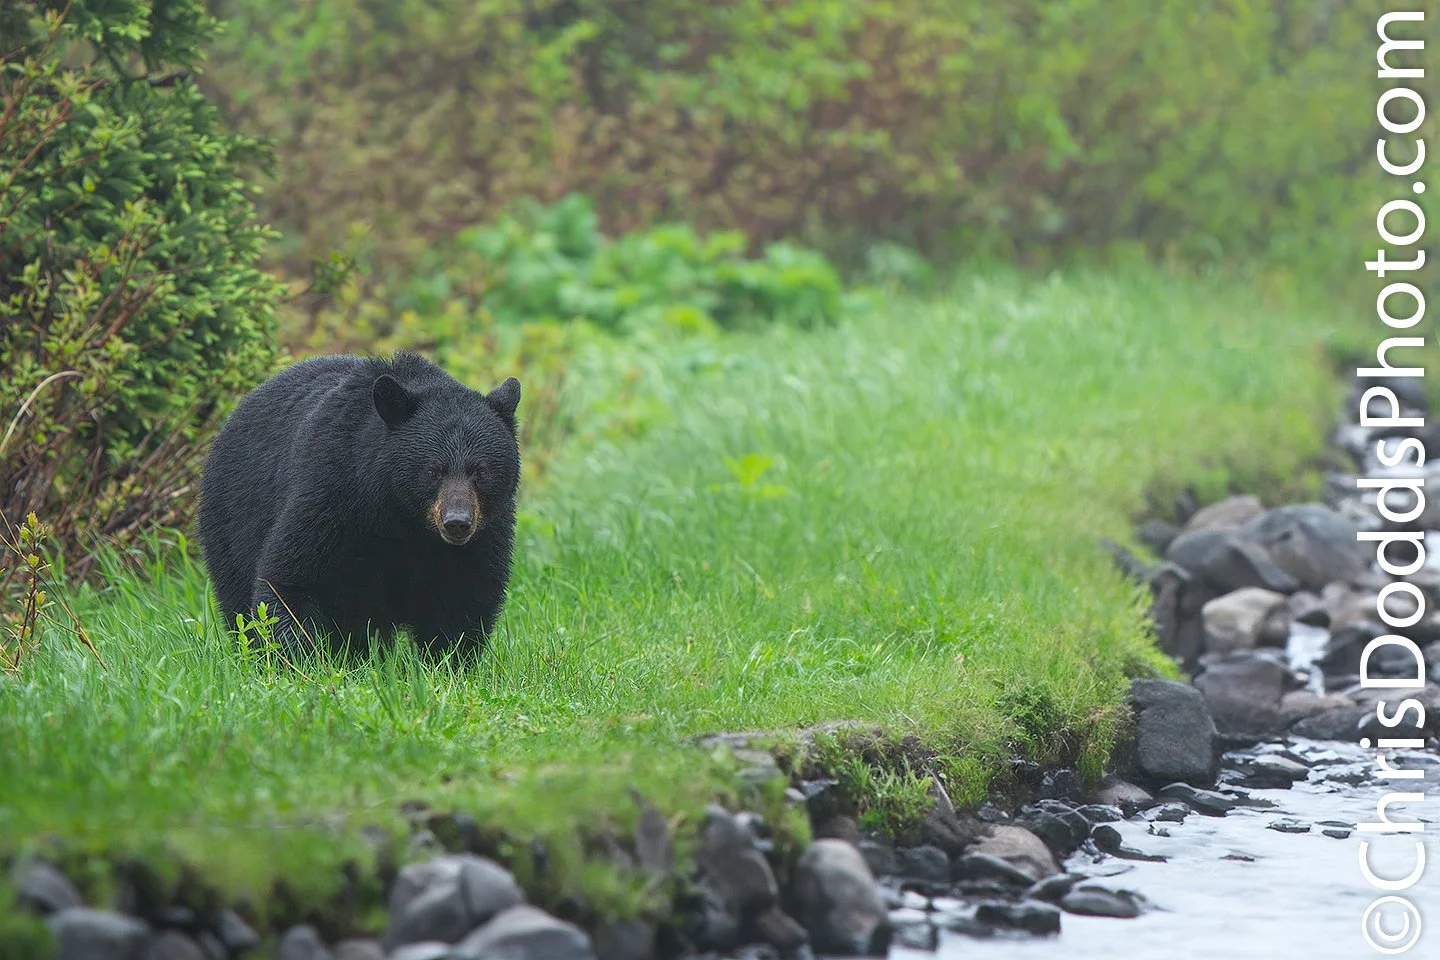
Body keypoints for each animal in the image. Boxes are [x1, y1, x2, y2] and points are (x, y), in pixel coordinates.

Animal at [198, 350, 522, 660]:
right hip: (230, 522)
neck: (403, 522)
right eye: (433, 471)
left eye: (480, 472)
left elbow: (464, 599)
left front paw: (448, 663)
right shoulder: (333, 494)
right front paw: (295, 660)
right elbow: (291, 580)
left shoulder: (484, 534)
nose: (457, 522)